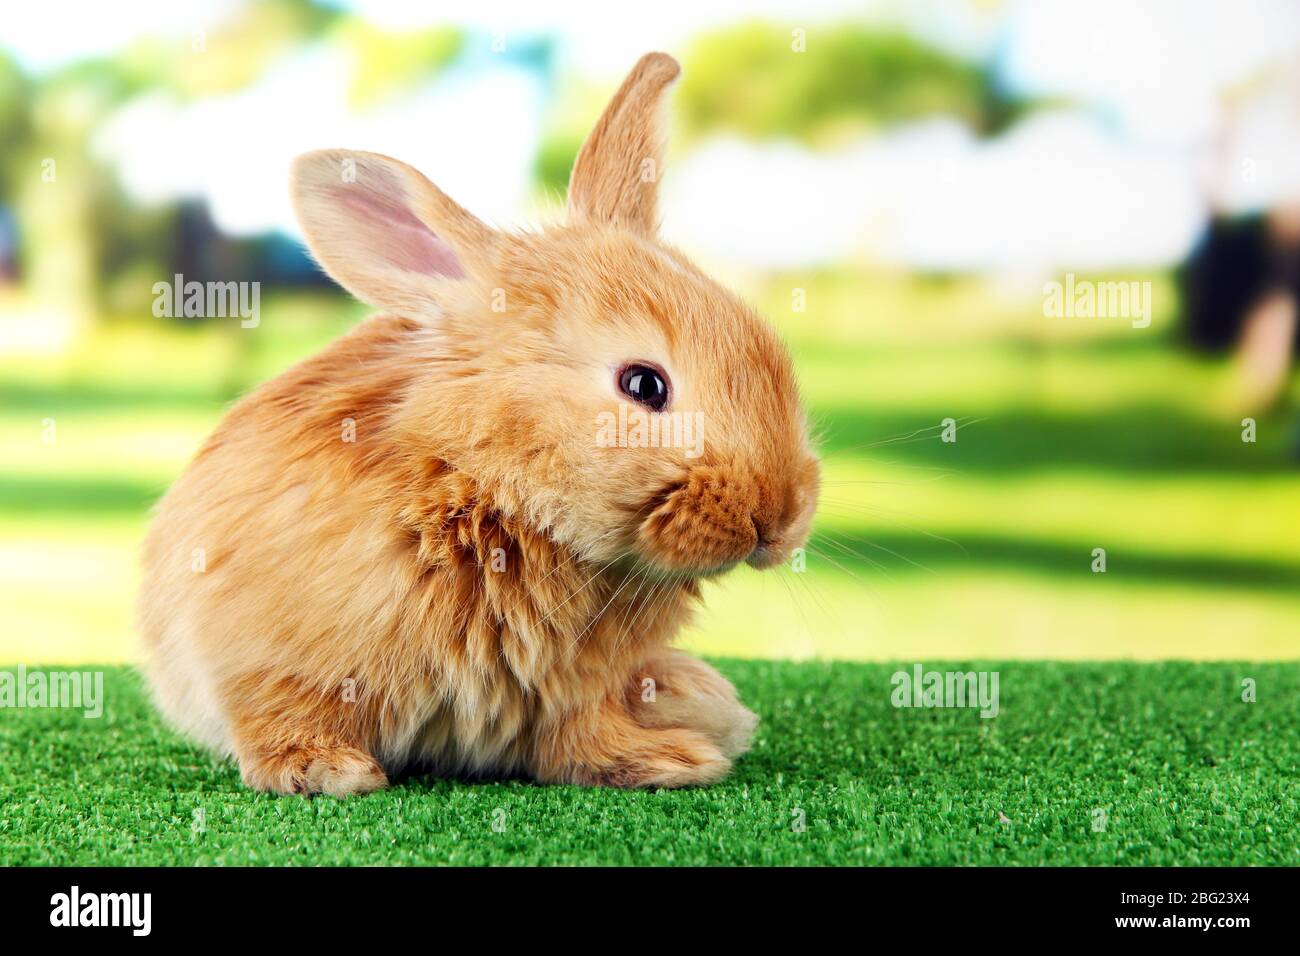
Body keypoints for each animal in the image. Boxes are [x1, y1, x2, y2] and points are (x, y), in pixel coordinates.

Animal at [137, 52, 821, 796]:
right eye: (644, 384)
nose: (779, 517)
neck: (488, 482)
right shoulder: (265, 661)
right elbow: (276, 715)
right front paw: (326, 770)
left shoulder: (570, 693)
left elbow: (579, 740)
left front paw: (671, 753)